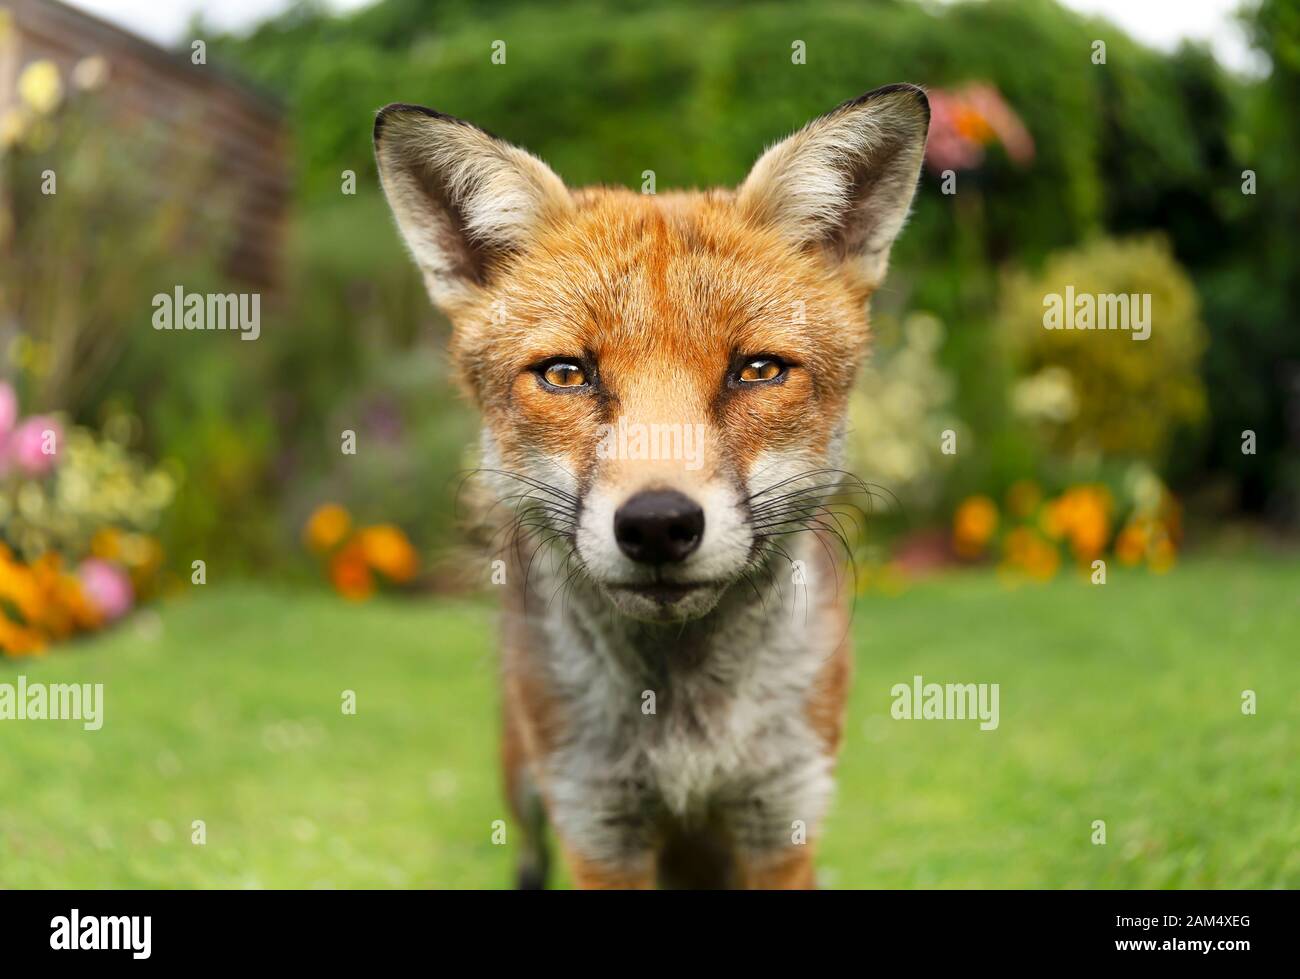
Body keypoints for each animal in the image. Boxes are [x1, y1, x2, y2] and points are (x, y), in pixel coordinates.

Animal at [373, 83, 929, 888]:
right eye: (566, 373)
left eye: (758, 370)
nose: (659, 524)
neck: (683, 733)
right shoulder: (599, 827)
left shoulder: (782, 816)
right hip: (528, 786)